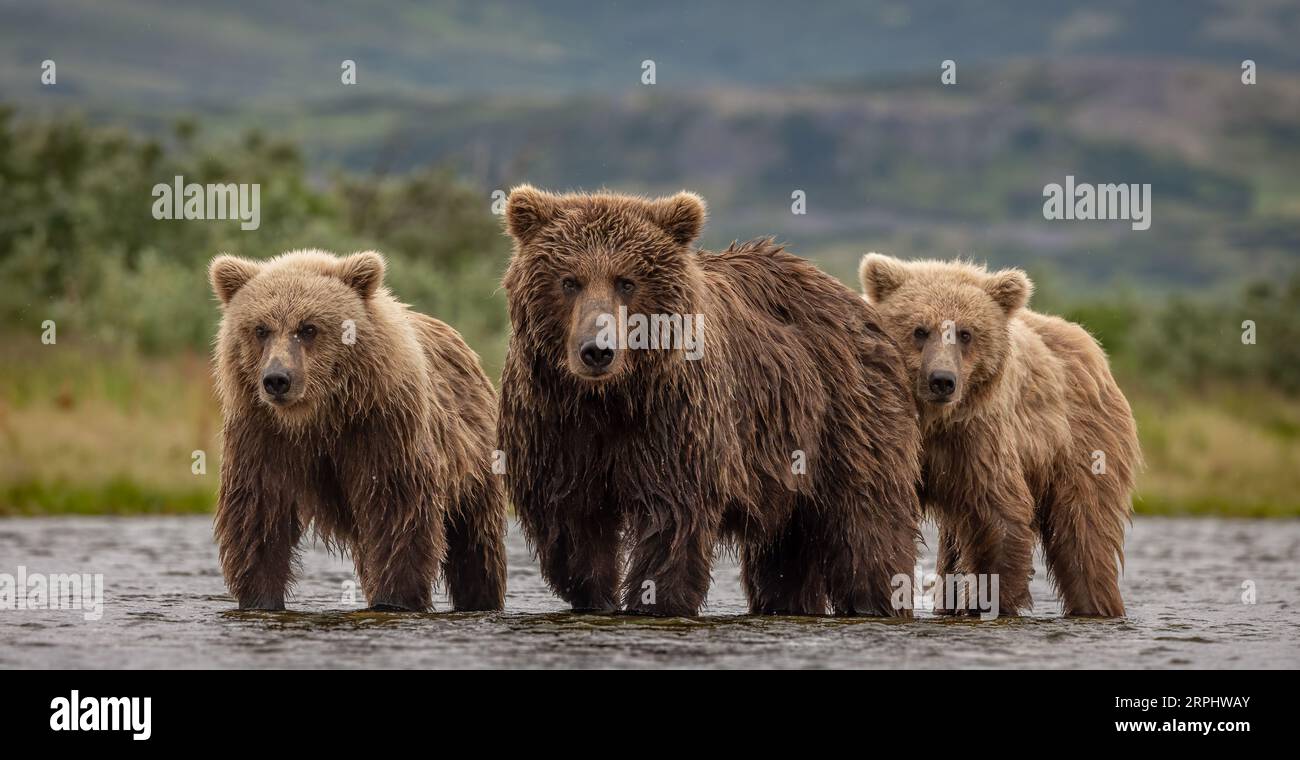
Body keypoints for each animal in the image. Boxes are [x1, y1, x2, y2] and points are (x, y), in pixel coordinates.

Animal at [208, 249, 507, 612]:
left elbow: (397, 512)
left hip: (474, 457)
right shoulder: (262, 434)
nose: (277, 379)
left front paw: (396, 598)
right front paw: (260, 597)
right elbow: (259, 512)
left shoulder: (381, 429)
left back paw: (480, 597)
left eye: (308, 328)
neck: (319, 416)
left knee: (476, 543)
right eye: (260, 329)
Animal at [498, 186, 922, 617]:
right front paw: (597, 597)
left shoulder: (675, 418)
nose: (597, 350)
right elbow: (572, 524)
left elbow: (670, 519)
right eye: (569, 281)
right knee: (787, 550)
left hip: (847, 415)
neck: (611, 397)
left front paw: (656, 600)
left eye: (626, 281)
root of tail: (853, 301)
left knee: (866, 521)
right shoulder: (554, 423)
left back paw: (875, 600)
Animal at [858, 253, 1140, 617]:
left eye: (965, 333)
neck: (934, 422)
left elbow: (999, 514)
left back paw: (1097, 604)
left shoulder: (978, 437)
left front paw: (990, 600)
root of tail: (1095, 351)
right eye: (920, 330)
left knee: (1085, 532)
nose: (942, 380)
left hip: (1084, 445)